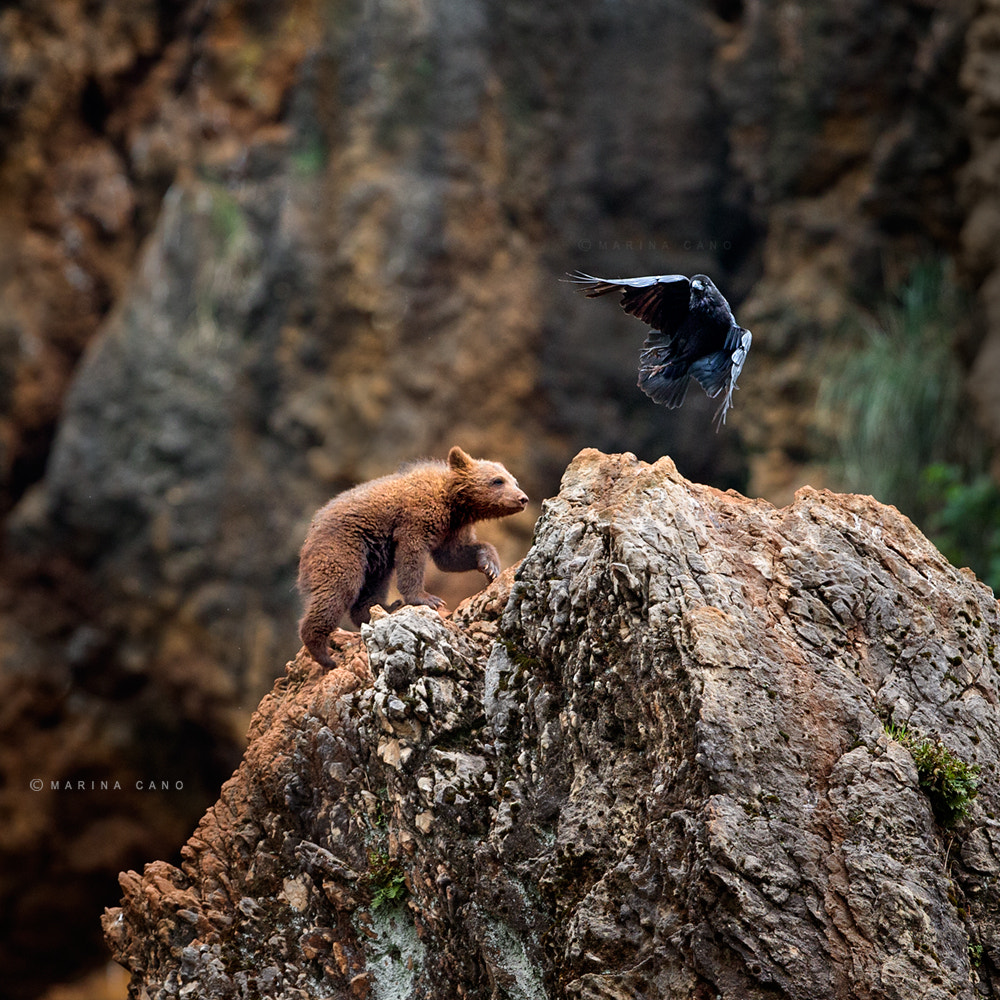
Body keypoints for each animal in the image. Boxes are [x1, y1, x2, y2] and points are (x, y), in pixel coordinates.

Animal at [297, 445, 529, 669]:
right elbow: (413, 557)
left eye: (514, 480)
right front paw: (428, 598)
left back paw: (385, 608)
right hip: (343, 547)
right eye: (497, 480)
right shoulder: (416, 519)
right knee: (338, 588)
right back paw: (322, 653)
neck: (453, 502)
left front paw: (490, 566)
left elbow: (451, 557)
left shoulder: (451, 528)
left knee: (372, 586)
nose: (522, 498)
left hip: (374, 556)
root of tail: (309, 535)